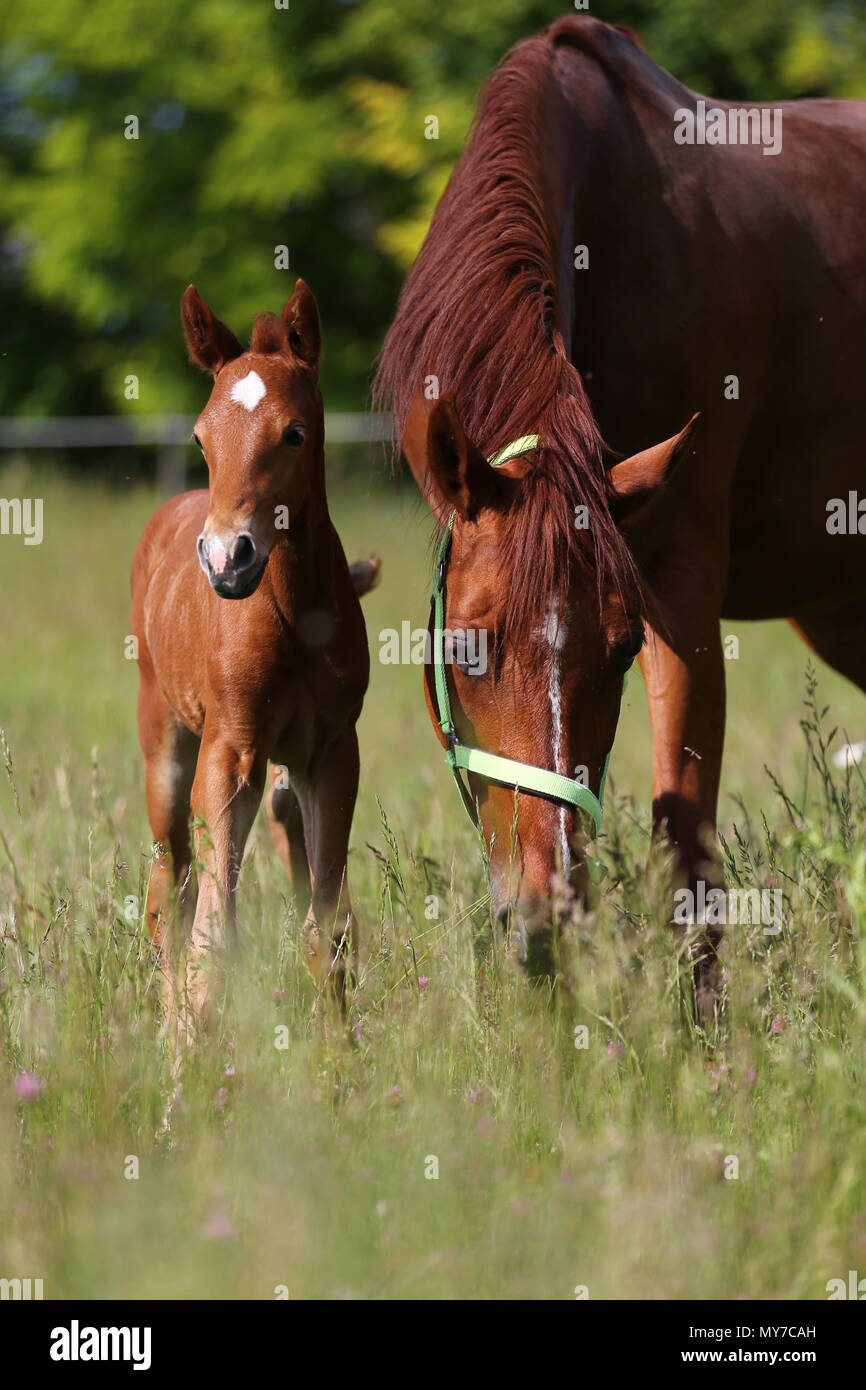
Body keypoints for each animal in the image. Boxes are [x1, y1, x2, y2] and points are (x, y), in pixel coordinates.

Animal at [131, 278, 378, 1032]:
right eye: (200, 437)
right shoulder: (230, 751)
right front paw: (195, 1049)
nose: (224, 558)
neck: (293, 614)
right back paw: (169, 1029)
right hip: (166, 750)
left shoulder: (331, 753)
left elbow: (326, 926)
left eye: (293, 433)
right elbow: (214, 931)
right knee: (170, 892)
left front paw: (337, 1055)